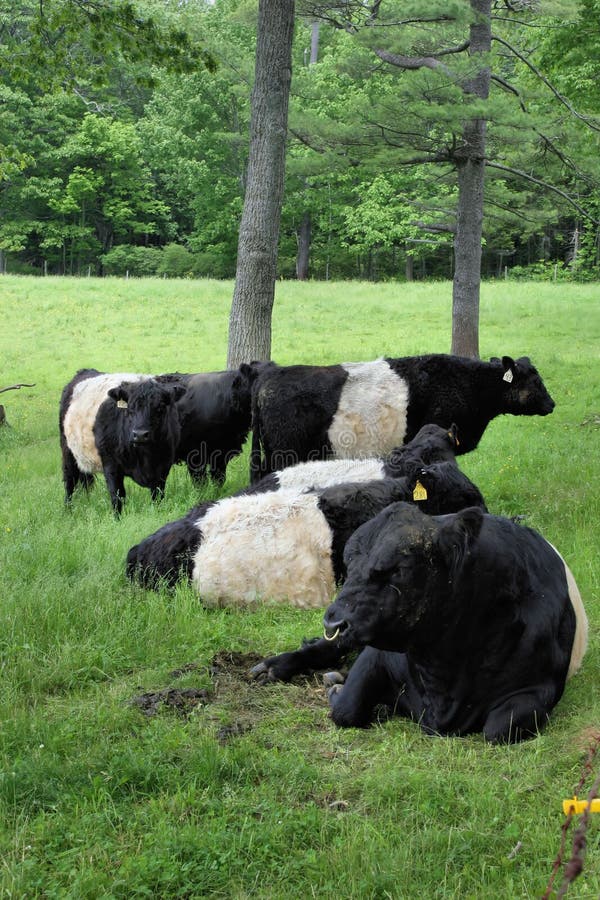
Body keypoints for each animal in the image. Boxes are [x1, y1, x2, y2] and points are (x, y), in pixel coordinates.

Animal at [60, 368, 186, 514]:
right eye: (130, 409)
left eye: (160, 408)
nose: (140, 435)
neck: (145, 456)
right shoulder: (111, 465)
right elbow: (117, 497)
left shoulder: (163, 467)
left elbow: (157, 496)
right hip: (68, 451)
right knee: (69, 480)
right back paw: (68, 510)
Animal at [296, 502, 587, 743]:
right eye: (347, 564)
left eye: (398, 569)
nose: (334, 622)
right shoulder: (378, 653)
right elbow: (346, 709)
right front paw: (343, 695)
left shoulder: (539, 687)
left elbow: (500, 728)